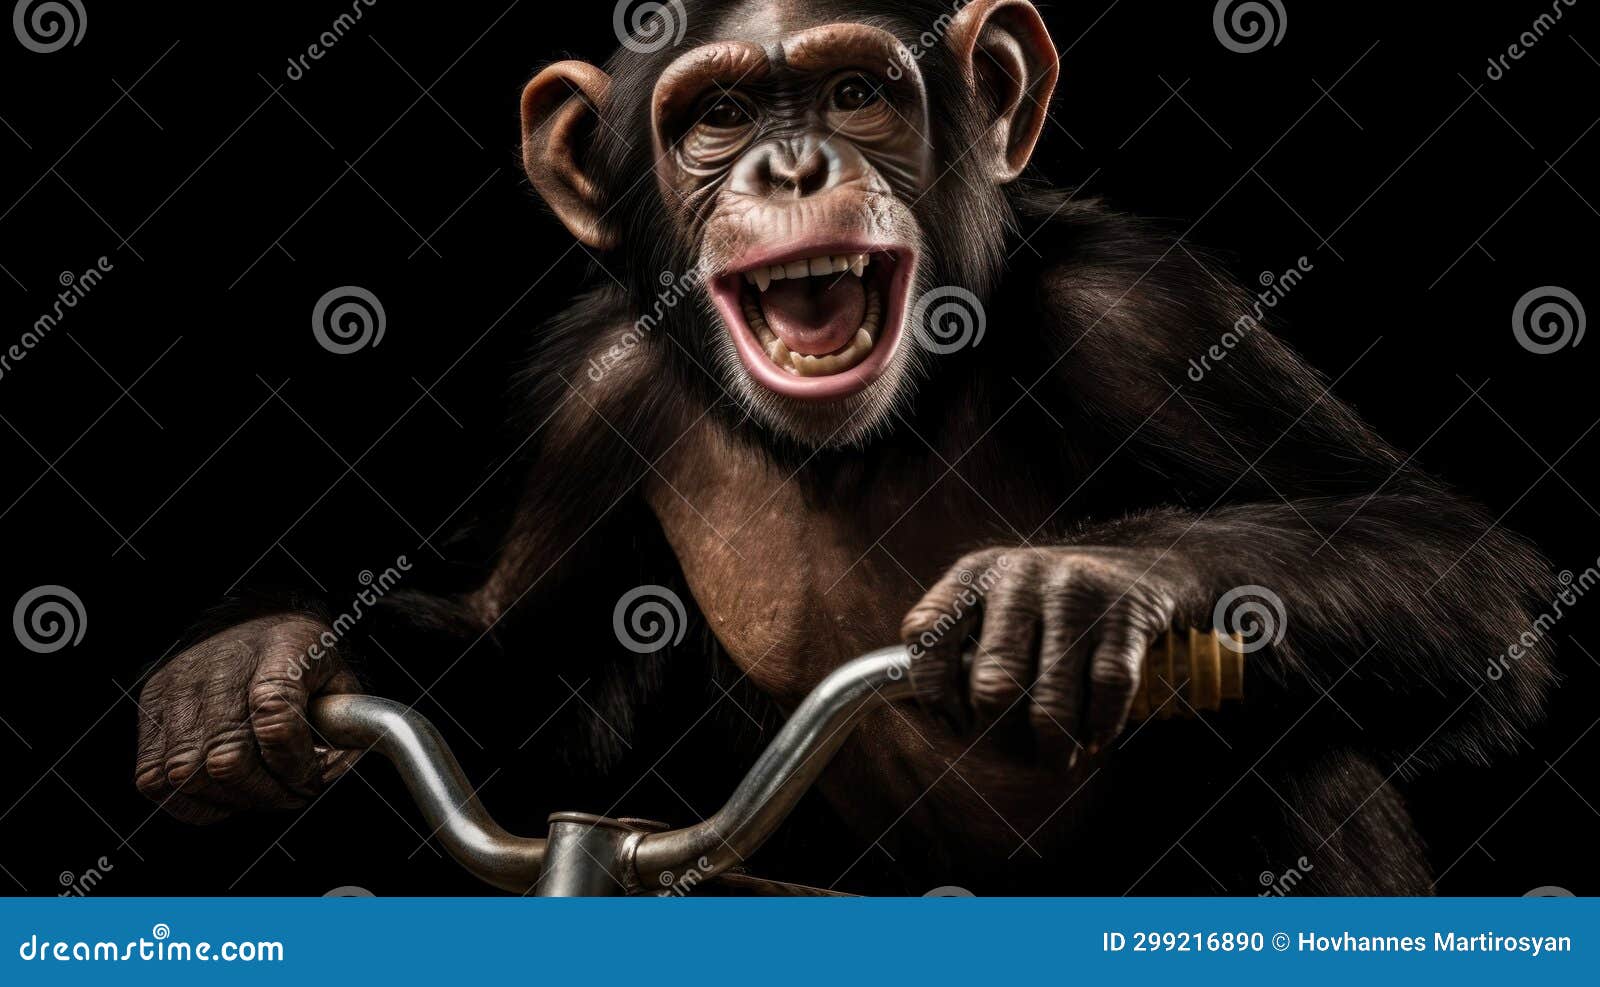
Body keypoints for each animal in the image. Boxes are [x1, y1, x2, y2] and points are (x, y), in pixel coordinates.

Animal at [134, 0, 1556, 894]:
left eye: (856, 92)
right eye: (717, 114)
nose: (794, 164)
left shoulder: (1144, 318)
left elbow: (1450, 557)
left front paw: (1080, 592)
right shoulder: (585, 407)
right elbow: (503, 638)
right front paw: (252, 660)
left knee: (1296, 741)